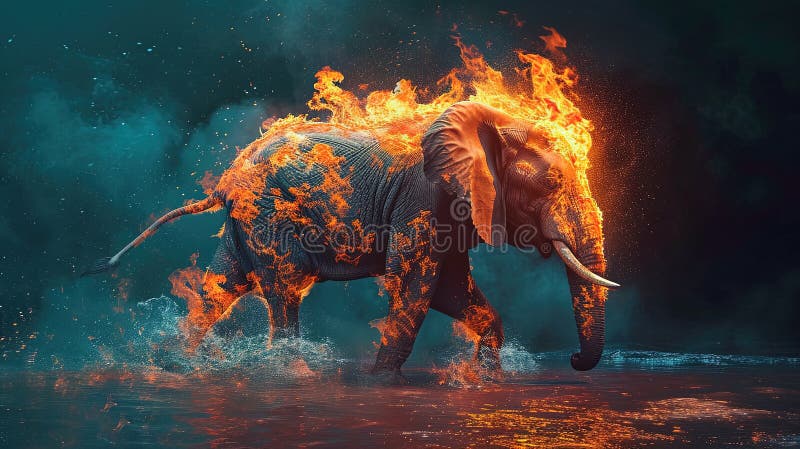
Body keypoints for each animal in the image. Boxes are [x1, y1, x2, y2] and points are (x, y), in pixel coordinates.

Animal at [85, 100, 619, 376]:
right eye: (552, 183)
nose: (575, 360)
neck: (492, 122)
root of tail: (226, 180)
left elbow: (451, 290)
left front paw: (485, 376)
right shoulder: (423, 201)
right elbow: (416, 287)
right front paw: (382, 383)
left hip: (245, 225)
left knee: (221, 286)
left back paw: (171, 362)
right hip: (267, 217)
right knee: (284, 289)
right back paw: (288, 370)